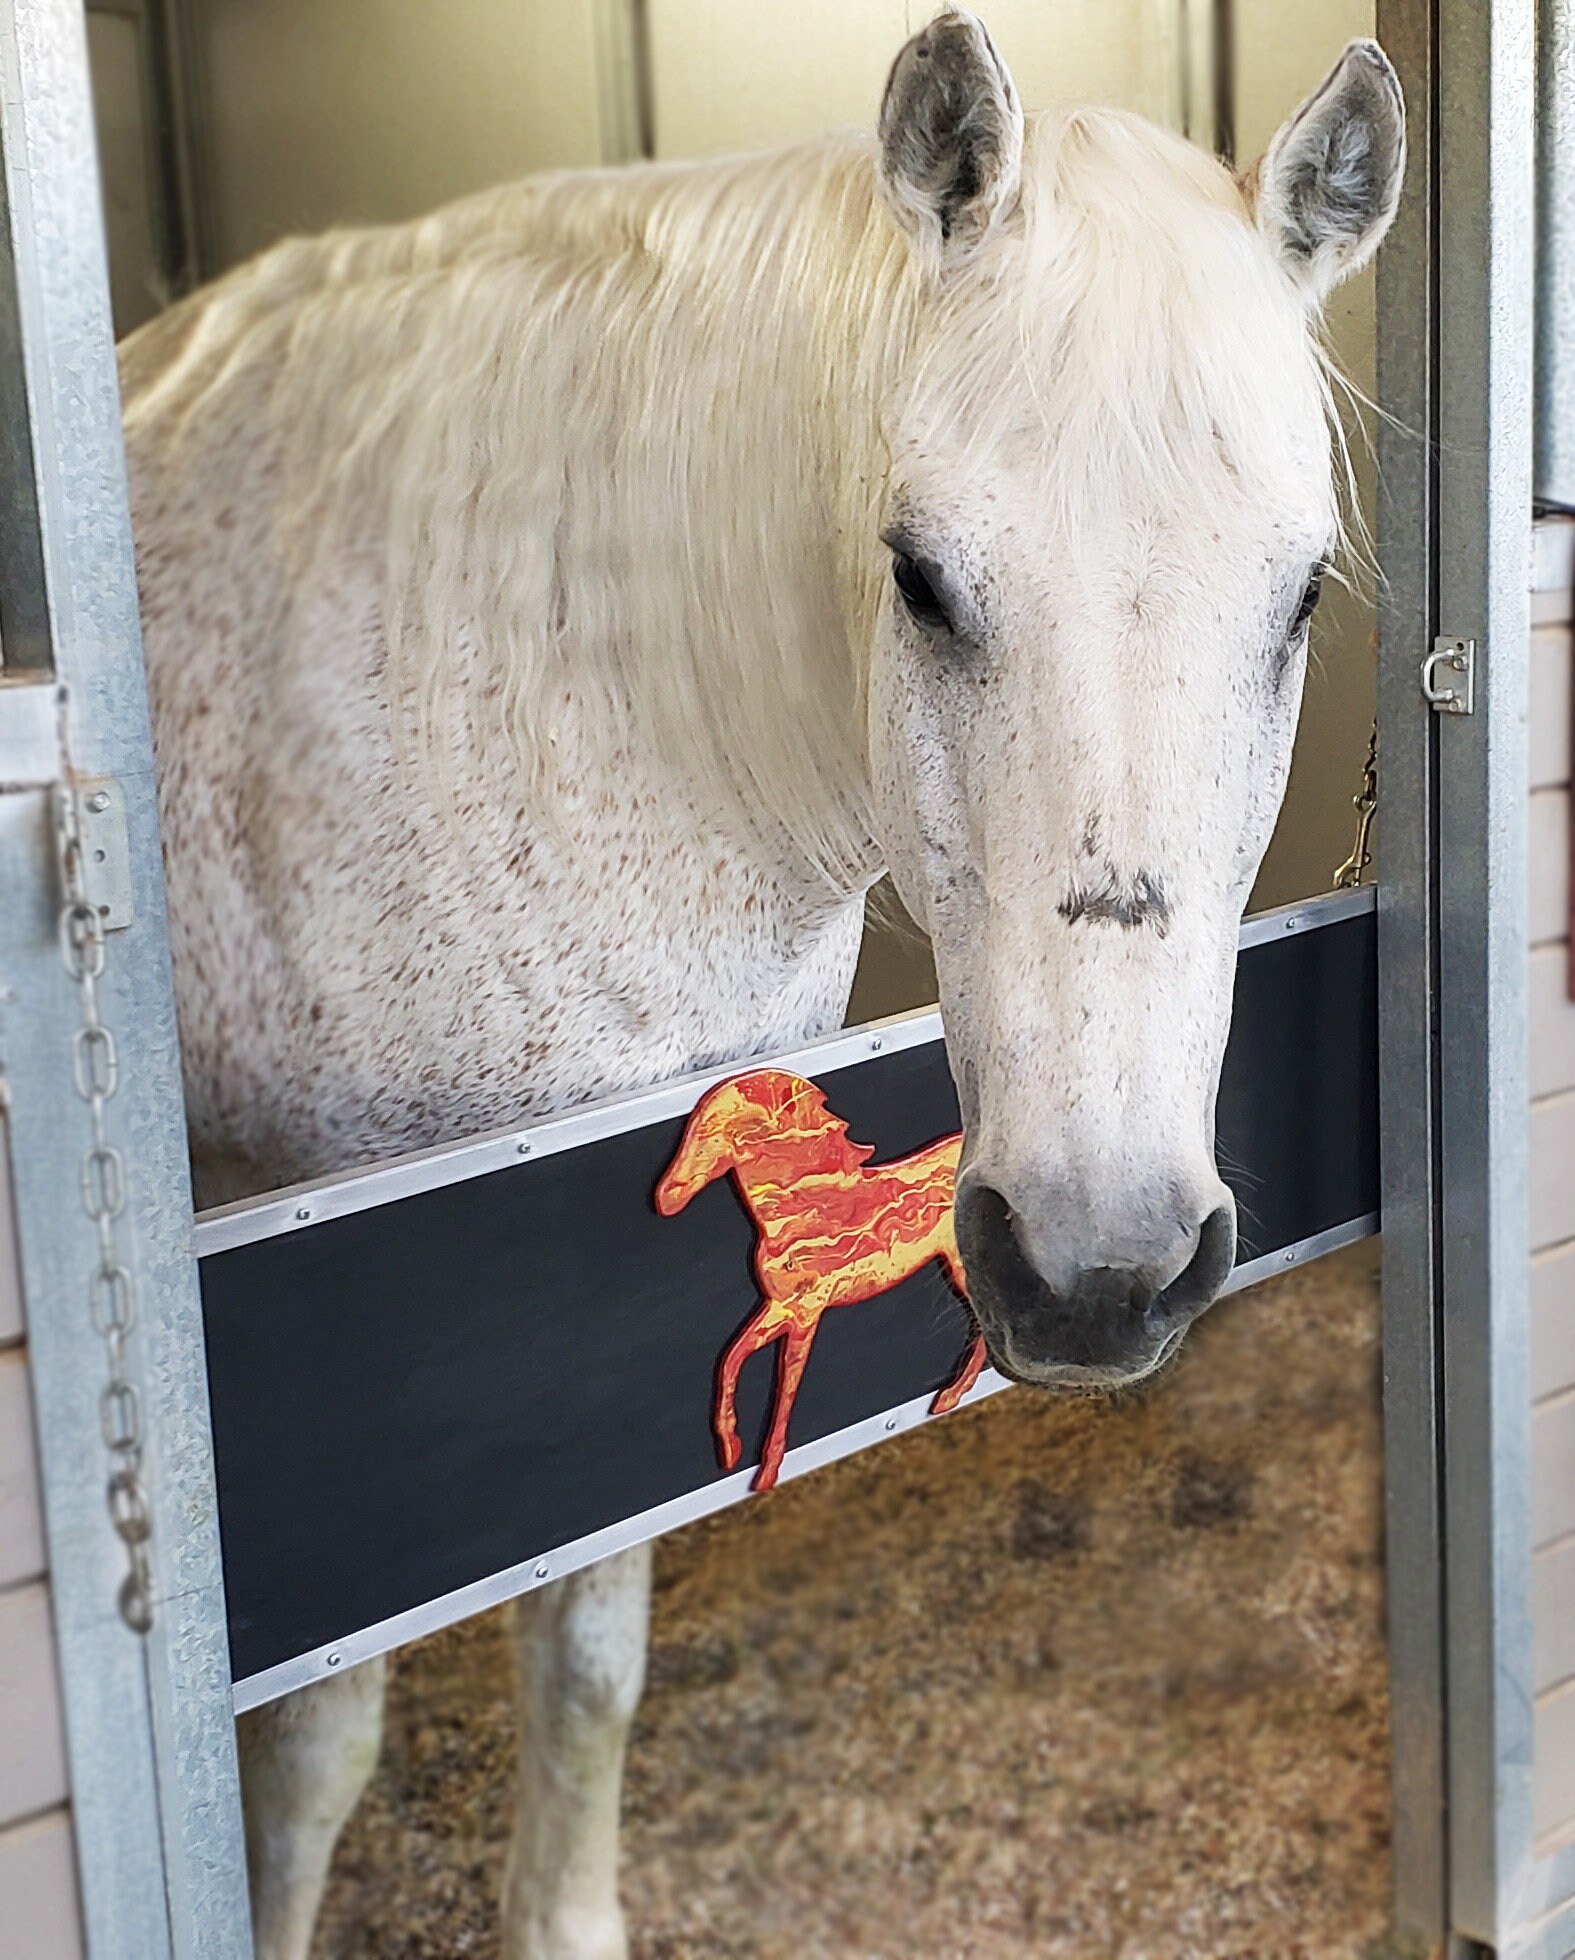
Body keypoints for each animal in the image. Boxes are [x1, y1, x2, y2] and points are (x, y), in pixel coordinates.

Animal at [654, 1067, 982, 1490]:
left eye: (719, 1135)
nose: (666, 1197)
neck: (809, 1211)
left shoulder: (807, 1316)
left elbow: (785, 1393)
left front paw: (768, 1471)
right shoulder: (779, 1309)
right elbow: (730, 1361)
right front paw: (730, 1446)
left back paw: (952, 1394)